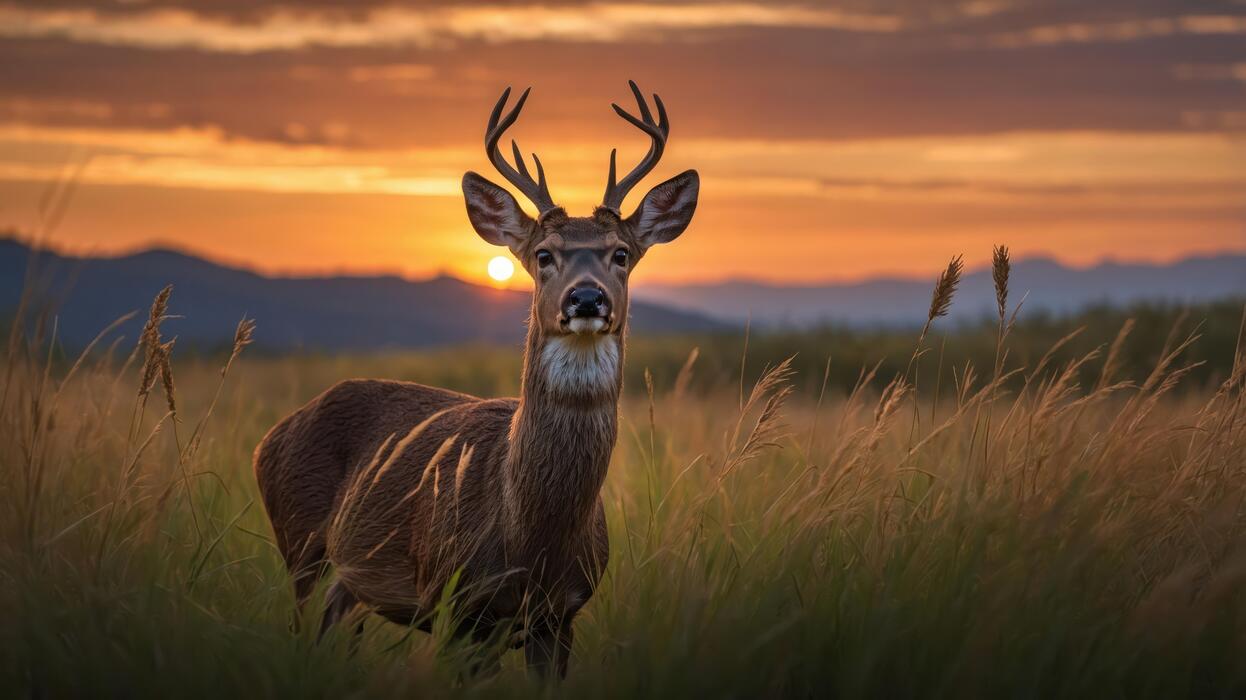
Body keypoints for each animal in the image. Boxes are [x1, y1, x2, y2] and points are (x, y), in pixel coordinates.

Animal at [252, 81, 699, 678]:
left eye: (621, 254)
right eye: (543, 254)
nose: (586, 298)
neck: (531, 539)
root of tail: (270, 438)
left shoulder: (561, 615)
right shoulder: (454, 601)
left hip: (344, 585)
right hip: (301, 548)